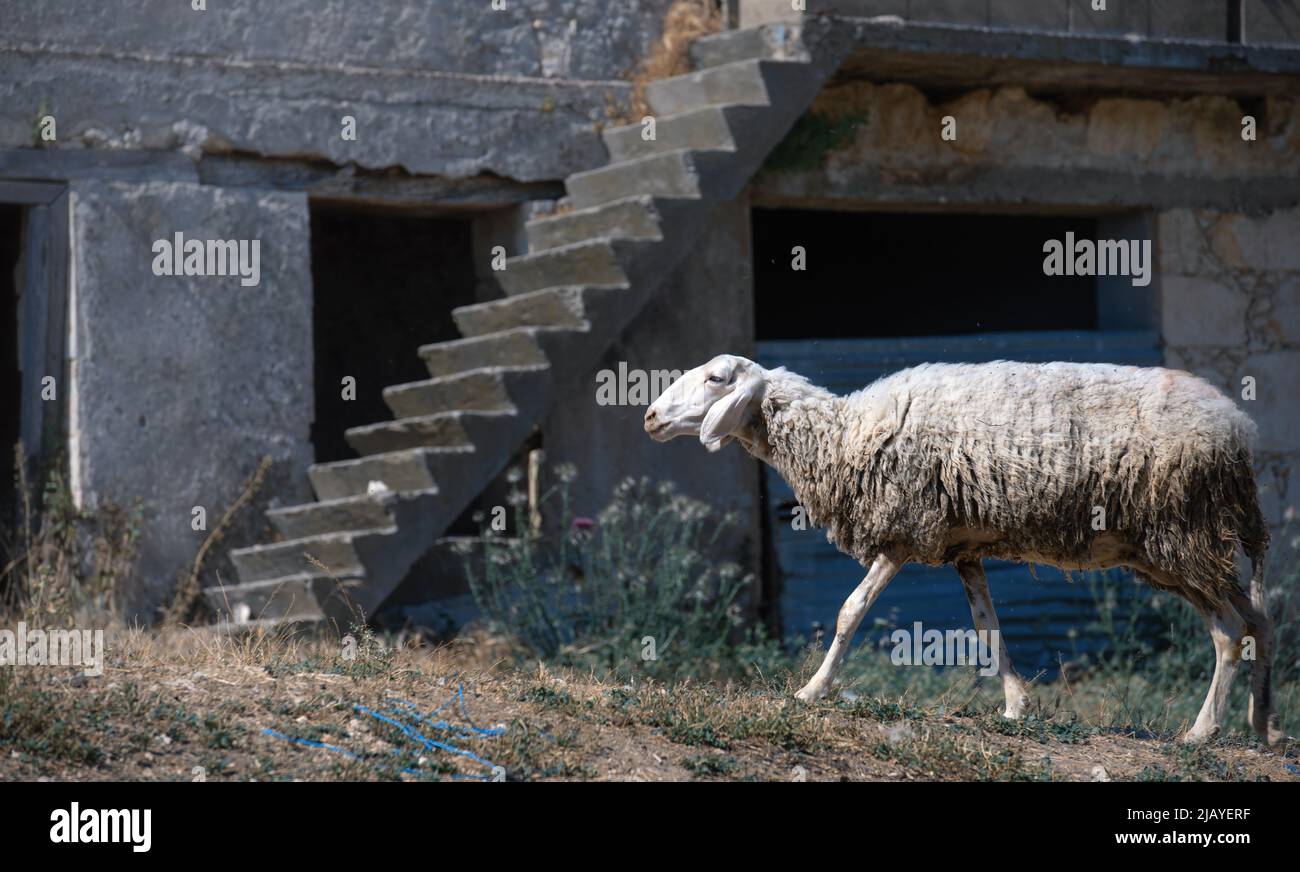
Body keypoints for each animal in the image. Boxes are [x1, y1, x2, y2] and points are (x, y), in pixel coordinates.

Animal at [644, 354, 1285, 745]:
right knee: (1260, 620)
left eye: (716, 379)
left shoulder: (903, 531)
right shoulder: (963, 548)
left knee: (1231, 630)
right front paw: (1016, 704)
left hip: (1182, 533)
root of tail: (1240, 431)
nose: (649, 415)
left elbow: (850, 611)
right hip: (1174, 549)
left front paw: (810, 691)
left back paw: (1202, 732)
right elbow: (986, 625)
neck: (844, 435)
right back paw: (1265, 726)